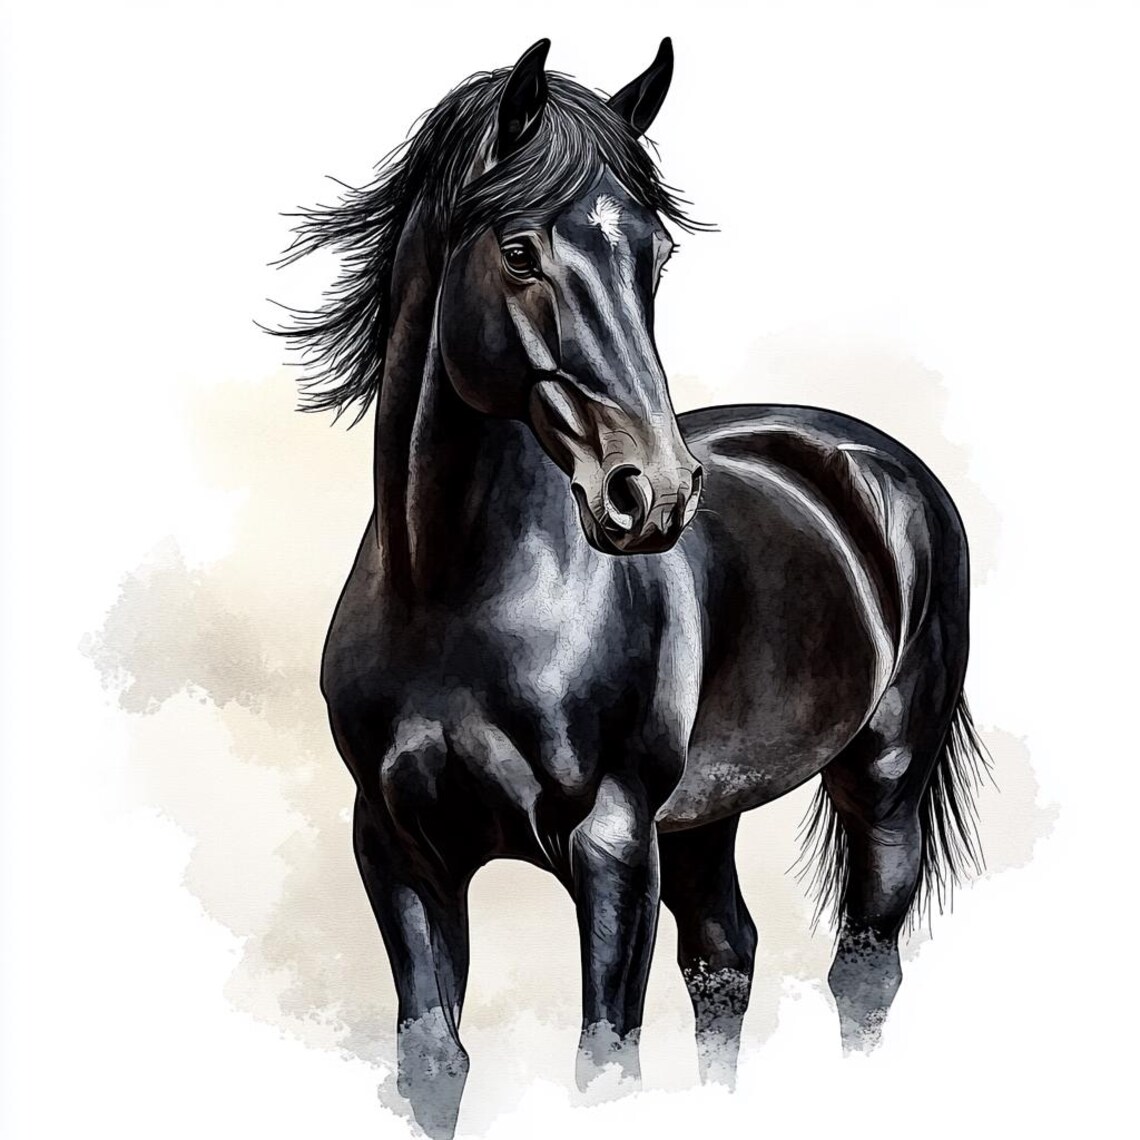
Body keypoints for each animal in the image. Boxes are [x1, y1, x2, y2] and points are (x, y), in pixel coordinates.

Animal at [273, 38, 987, 1140]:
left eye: (653, 257)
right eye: (521, 252)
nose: (652, 492)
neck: (457, 604)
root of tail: (876, 462)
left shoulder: (611, 843)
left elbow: (605, 1064)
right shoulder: (398, 847)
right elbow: (434, 1059)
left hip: (884, 781)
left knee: (863, 974)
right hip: (704, 816)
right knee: (726, 960)